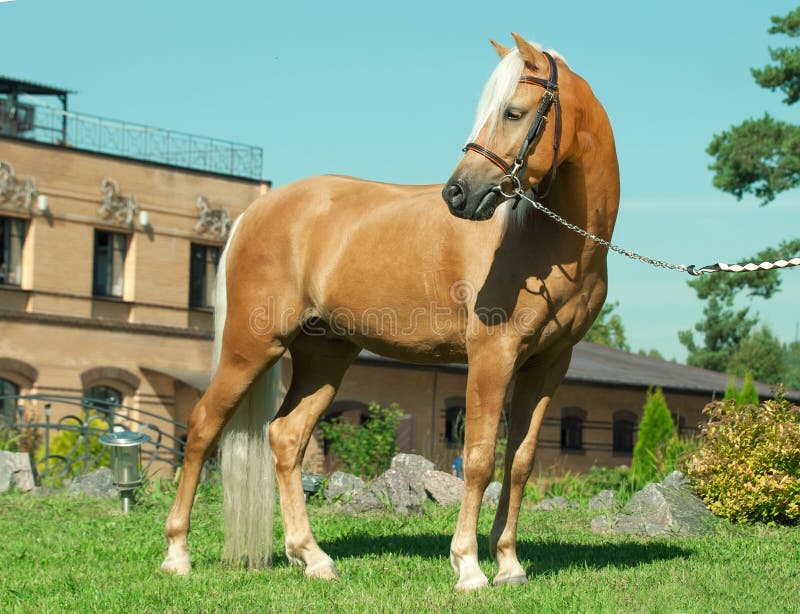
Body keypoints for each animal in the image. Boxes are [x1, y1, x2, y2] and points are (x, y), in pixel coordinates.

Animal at [161, 33, 620, 592]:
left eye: (513, 112)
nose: (457, 194)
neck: (540, 238)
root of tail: (254, 212)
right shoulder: (492, 356)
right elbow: (479, 460)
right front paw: (468, 566)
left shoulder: (549, 364)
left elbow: (520, 461)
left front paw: (509, 564)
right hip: (252, 348)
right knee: (204, 427)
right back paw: (177, 554)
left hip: (325, 356)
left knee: (286, 437)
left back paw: (312, 557)